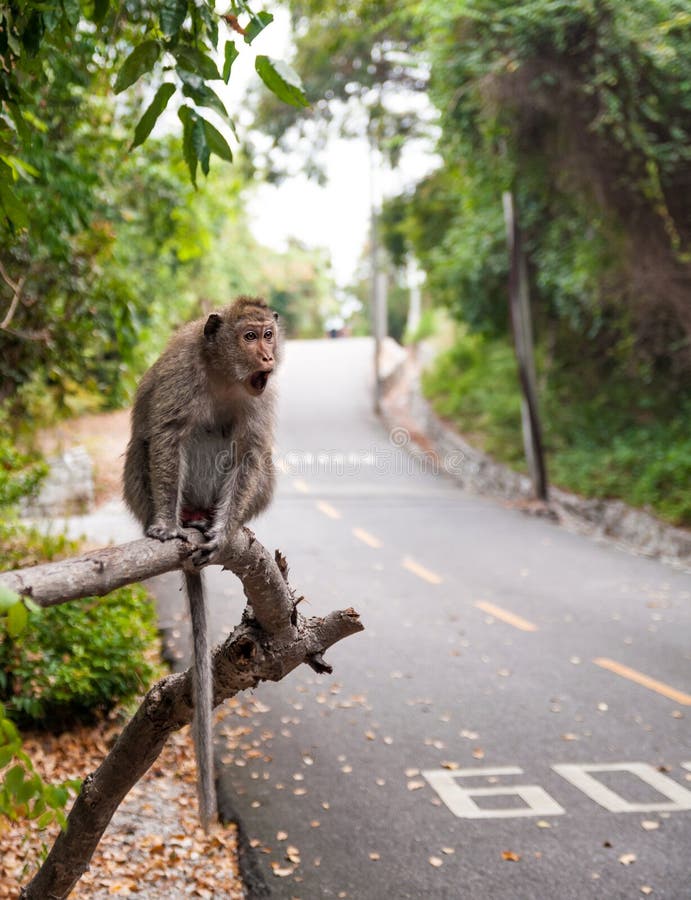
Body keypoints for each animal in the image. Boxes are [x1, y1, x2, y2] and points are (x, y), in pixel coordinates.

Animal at [123, 296, 280, 830]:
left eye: (268, 334)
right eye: (249, 336)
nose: (268, 356)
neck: (223, 375)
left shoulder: (261, 398)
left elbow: (252, 449)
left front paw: (226, 530)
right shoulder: (181, 375)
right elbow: (167, 435)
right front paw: (164, 527)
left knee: (249, 452)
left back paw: (226, 525)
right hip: (140, 491)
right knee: (173, 440)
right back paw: (183, 519)